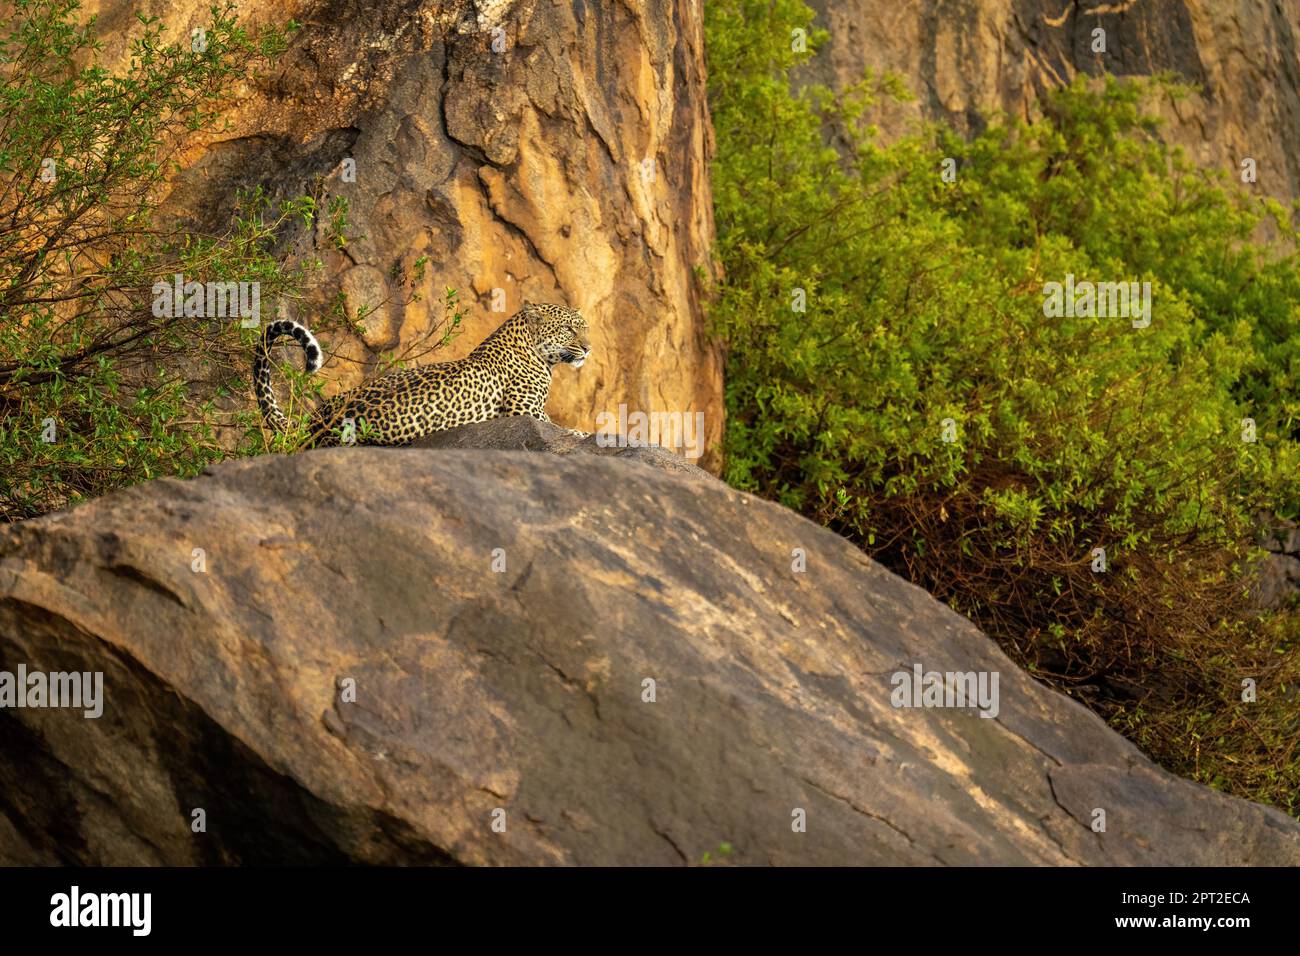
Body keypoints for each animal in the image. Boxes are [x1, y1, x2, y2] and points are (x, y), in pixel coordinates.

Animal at [253, 301, 591, 447]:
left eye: (584, 327)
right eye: (568, 329)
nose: (589, 348)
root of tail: (316, 421)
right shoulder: (525, 409)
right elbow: (560, 427)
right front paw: (582, 434)